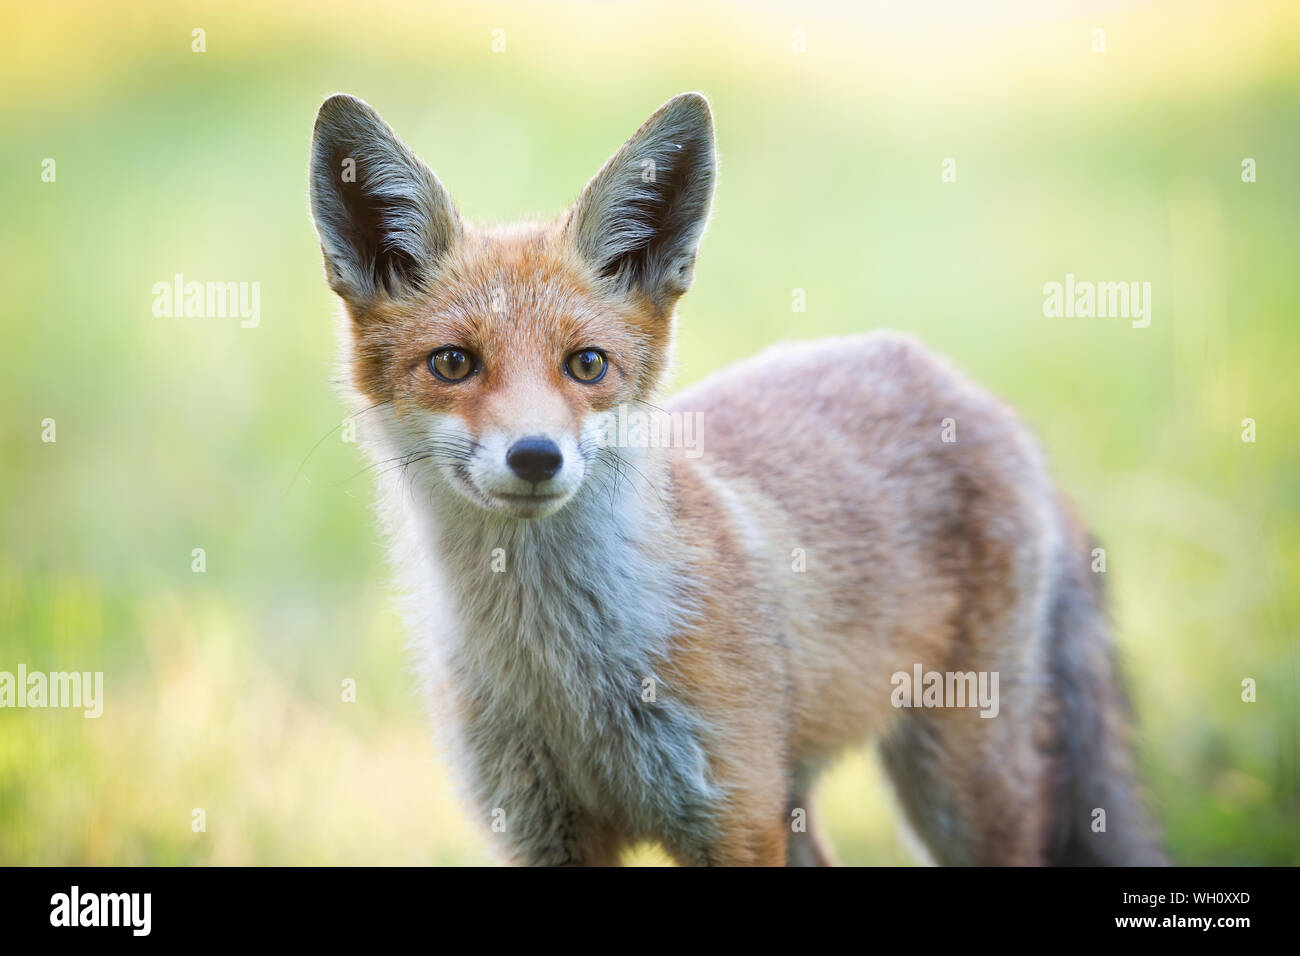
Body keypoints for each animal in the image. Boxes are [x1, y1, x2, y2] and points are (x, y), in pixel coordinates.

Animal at [308, 91, 1165, 866]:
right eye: (454, 363)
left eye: (586, 365)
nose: (536, 456)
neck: (562, 676)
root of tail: (974, 392)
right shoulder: (541, 834)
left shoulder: (732, 818)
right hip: (807, 800)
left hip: (957, 788)